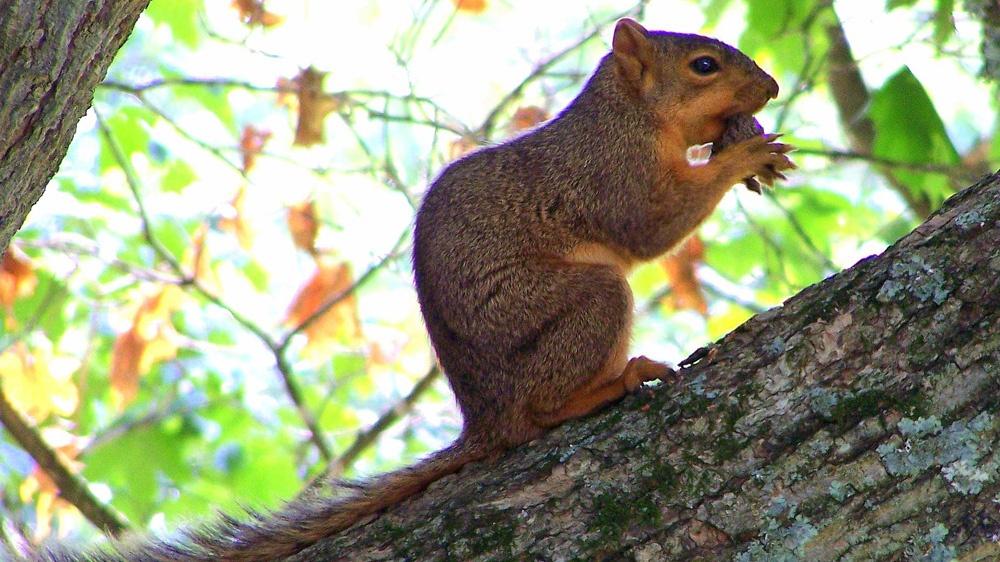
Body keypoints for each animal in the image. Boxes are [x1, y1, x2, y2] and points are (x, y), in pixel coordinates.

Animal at [36, 18, 792, 562]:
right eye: (703, 65)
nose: (773, 88)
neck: (630, 115)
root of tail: (484, 417)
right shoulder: (610, 173)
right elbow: (649, 225)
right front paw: (744, 156)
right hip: (580, 309)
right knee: (542, 411)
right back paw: (612, 381)